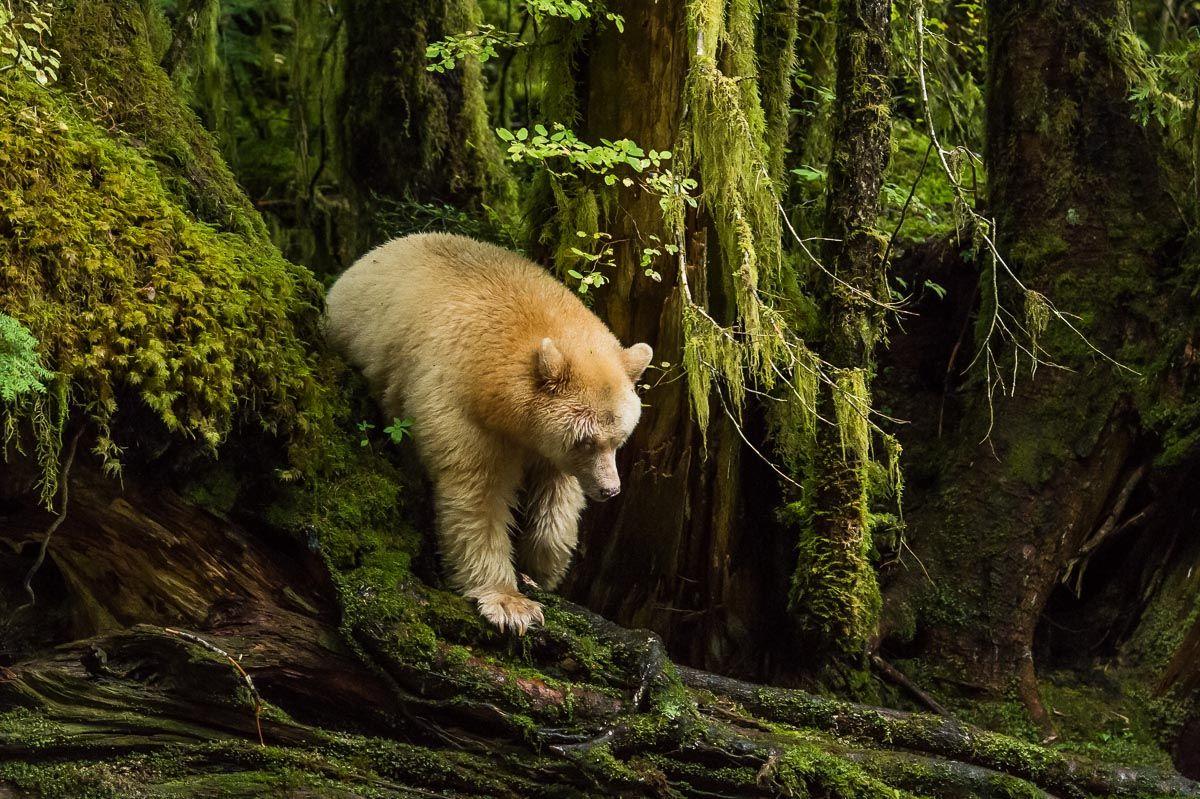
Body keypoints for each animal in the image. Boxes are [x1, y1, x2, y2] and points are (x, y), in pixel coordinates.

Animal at [324, 232, 653, 633]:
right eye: (585, 442)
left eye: (619, 439)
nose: (610, 490)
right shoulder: (458, 403)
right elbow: (478, 490)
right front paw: (511, 603)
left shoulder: (546, 448)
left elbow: (556, 496)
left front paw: (539, 570)